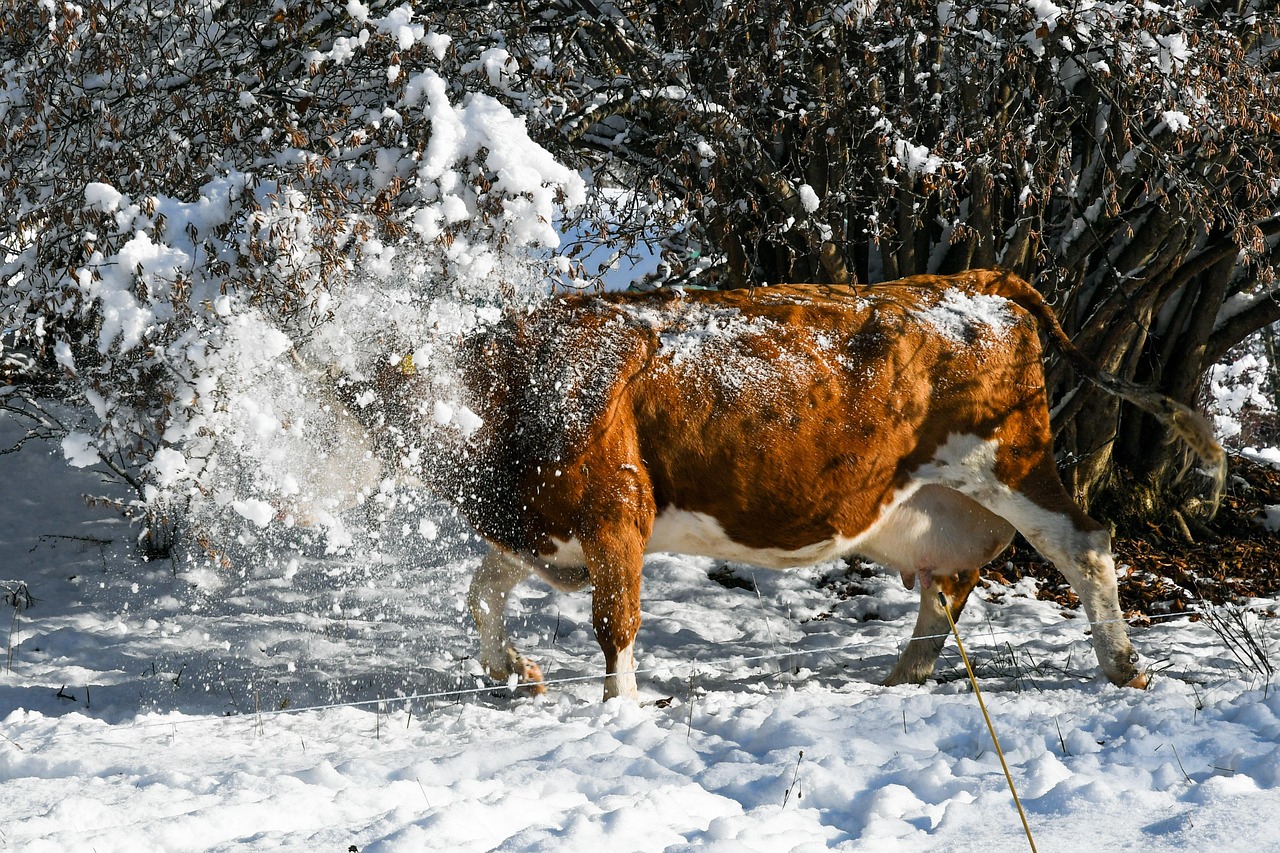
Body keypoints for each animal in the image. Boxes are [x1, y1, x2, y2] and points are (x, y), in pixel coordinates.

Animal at [353, 269, 1224, 701]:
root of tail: (973, 281)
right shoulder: (541, 524)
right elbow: (481, 590)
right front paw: (512, 669)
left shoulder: (614, 509)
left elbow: (614, 622)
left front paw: (616, 709)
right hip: (925, 501)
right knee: (950, 578)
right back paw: (905, 675)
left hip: (1007, 461)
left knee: (1086, 542)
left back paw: (1123, 664)